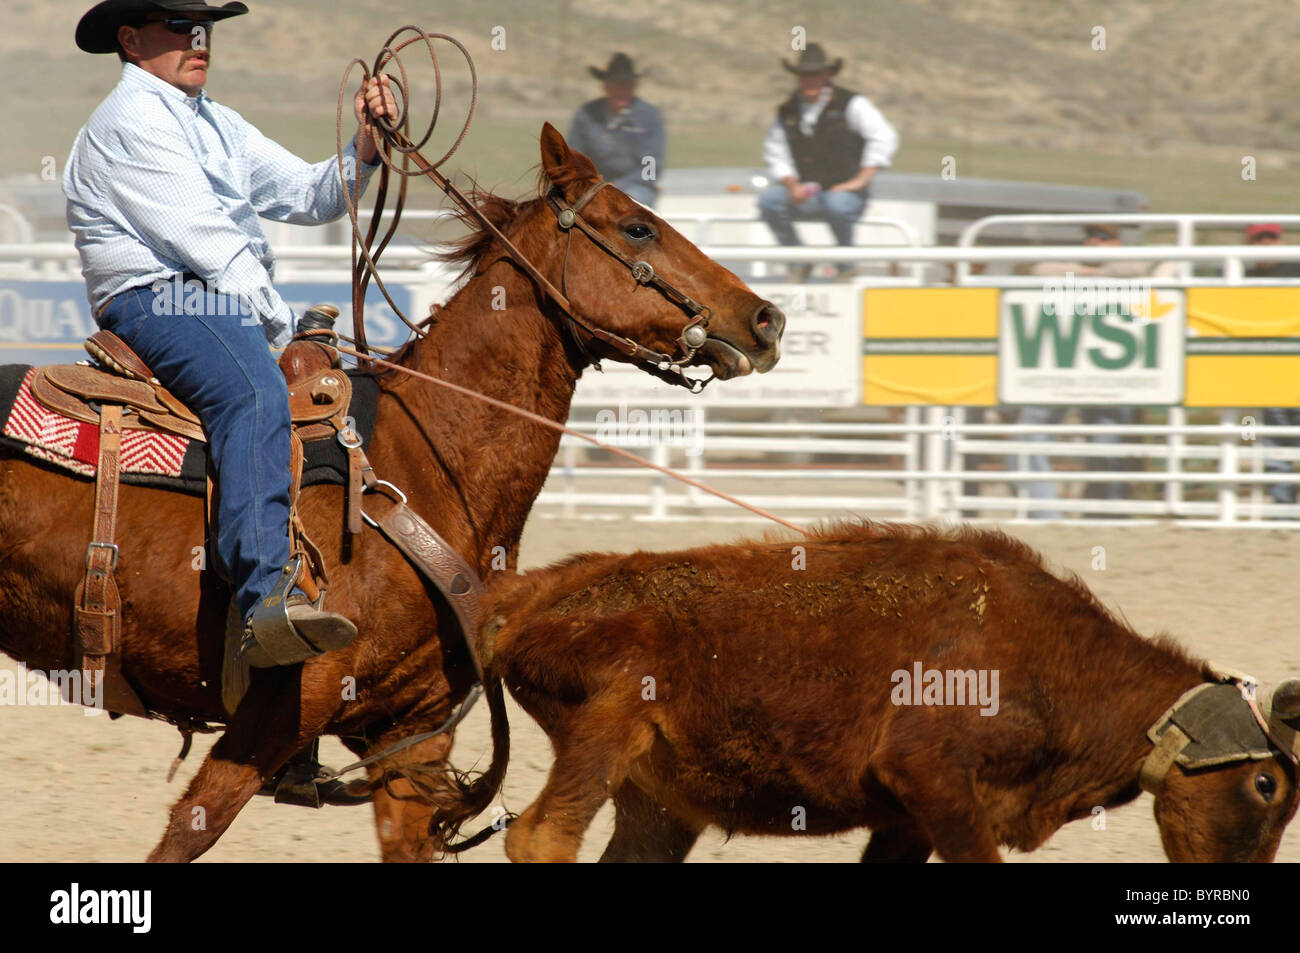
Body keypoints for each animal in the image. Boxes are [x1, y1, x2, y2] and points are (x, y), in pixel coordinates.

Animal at [0, 122, 785, 862]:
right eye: (637, 227)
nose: (766, 317)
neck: (424, 459)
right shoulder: (284, 704)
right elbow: (187, 833)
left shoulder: (411, 730)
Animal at [480, 520, 1300, 862]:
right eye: (1266, 785)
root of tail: (537, 591)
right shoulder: (934, 779)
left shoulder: (908, 817)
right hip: (608, 723)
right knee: (540, 836)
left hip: (658, 800)